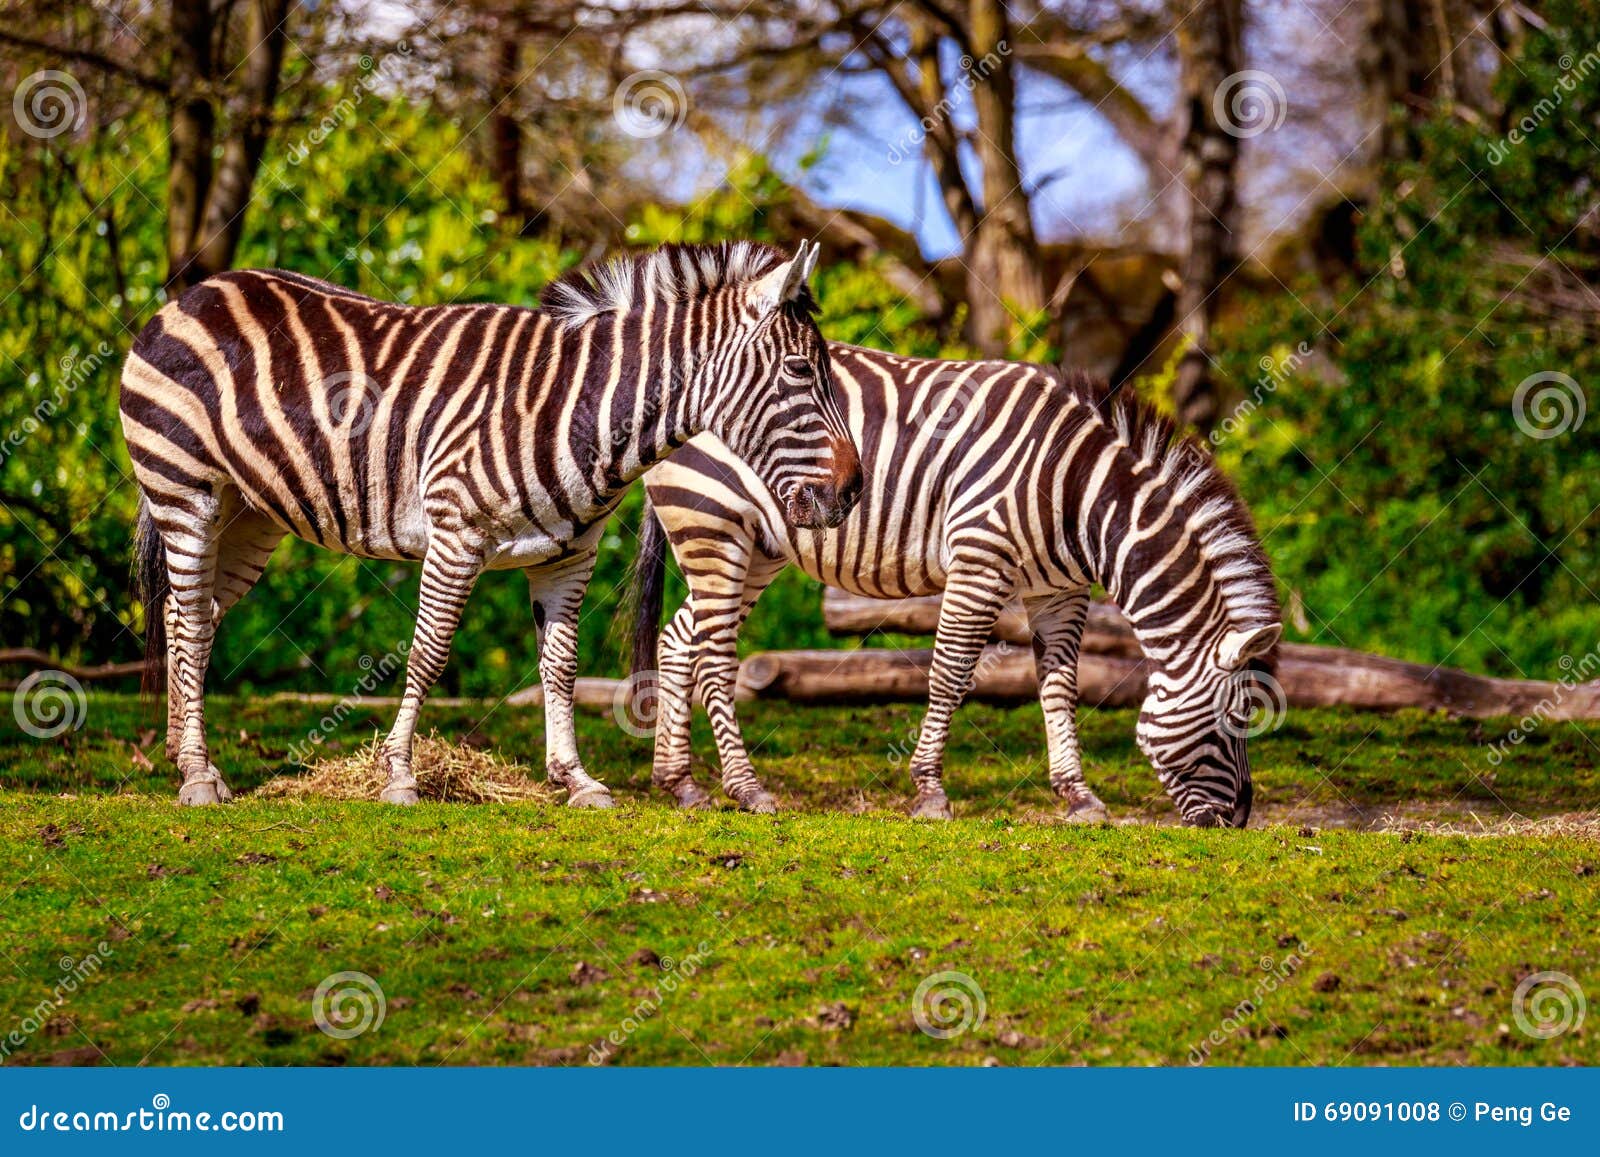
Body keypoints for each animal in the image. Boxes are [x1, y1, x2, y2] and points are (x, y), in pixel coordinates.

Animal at [119, 240, 863, 807]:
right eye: (802, 369)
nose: (853, 490)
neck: (578, 407)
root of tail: (192, 294)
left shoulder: (568, 554)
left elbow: (561, 666)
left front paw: (576, 779)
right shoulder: (456, 533)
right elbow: (429, 652)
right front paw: (399, 775)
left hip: (248, 513)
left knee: (192, 617)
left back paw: (185, 756)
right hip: (185, 486)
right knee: (190, 616)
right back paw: (197, 775)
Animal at [631, 346, 1280, 826]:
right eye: (1238, 718)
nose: (1239, 821)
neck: (1079, 493)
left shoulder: (1060, 591)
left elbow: (1059, 689)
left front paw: (1078, 797)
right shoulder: (980, 560)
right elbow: (950, 674)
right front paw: (929, 793)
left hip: (755, 547)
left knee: (679, 640)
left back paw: (681, 785)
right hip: (713, 524)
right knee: (715, 656)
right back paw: (747, 790)